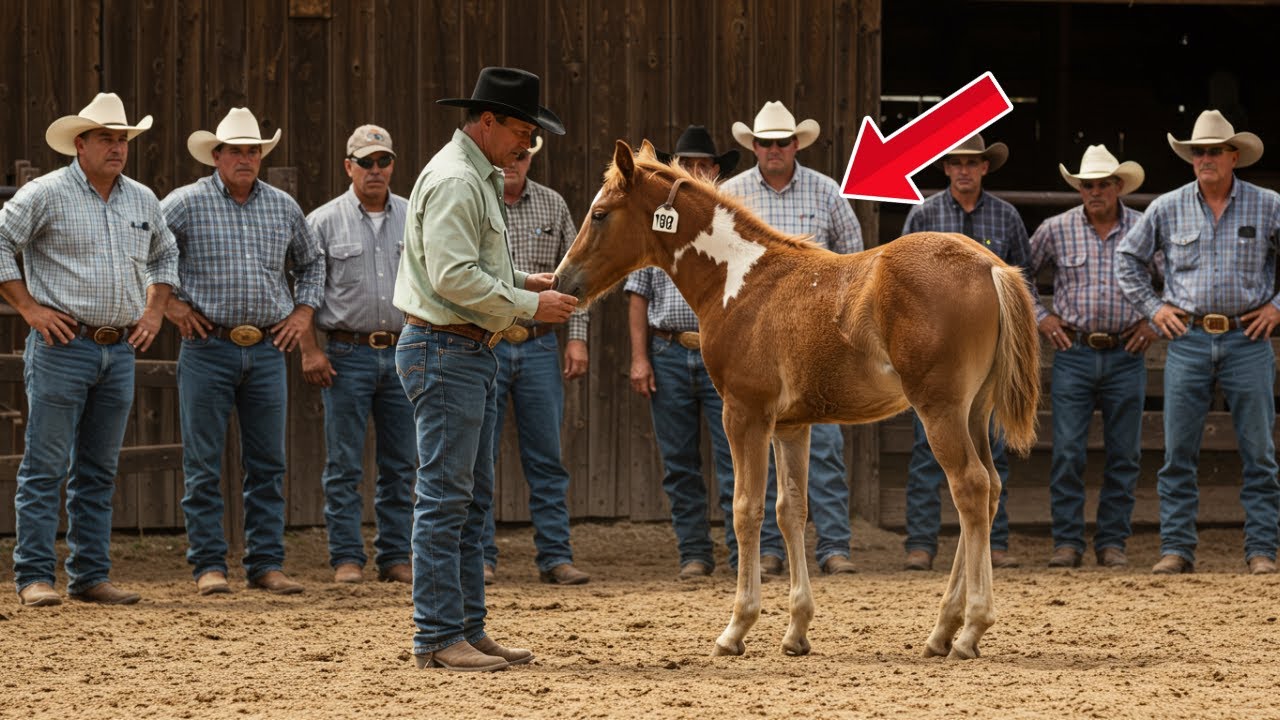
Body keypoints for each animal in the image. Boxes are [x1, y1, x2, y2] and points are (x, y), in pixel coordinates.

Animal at [554, 140, 1040, 660]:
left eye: (600, 214)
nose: (563, 282)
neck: (739, 281)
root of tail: (992, 266)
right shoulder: (791, 425)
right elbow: (792, 510)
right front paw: (796, 630)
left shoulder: (744, 412)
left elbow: (745, 508)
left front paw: (736, 628)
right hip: (973, 411)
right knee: (989, 488)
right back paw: (941, 631)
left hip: (940, 409)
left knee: (969, 487)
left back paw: (969, 630)